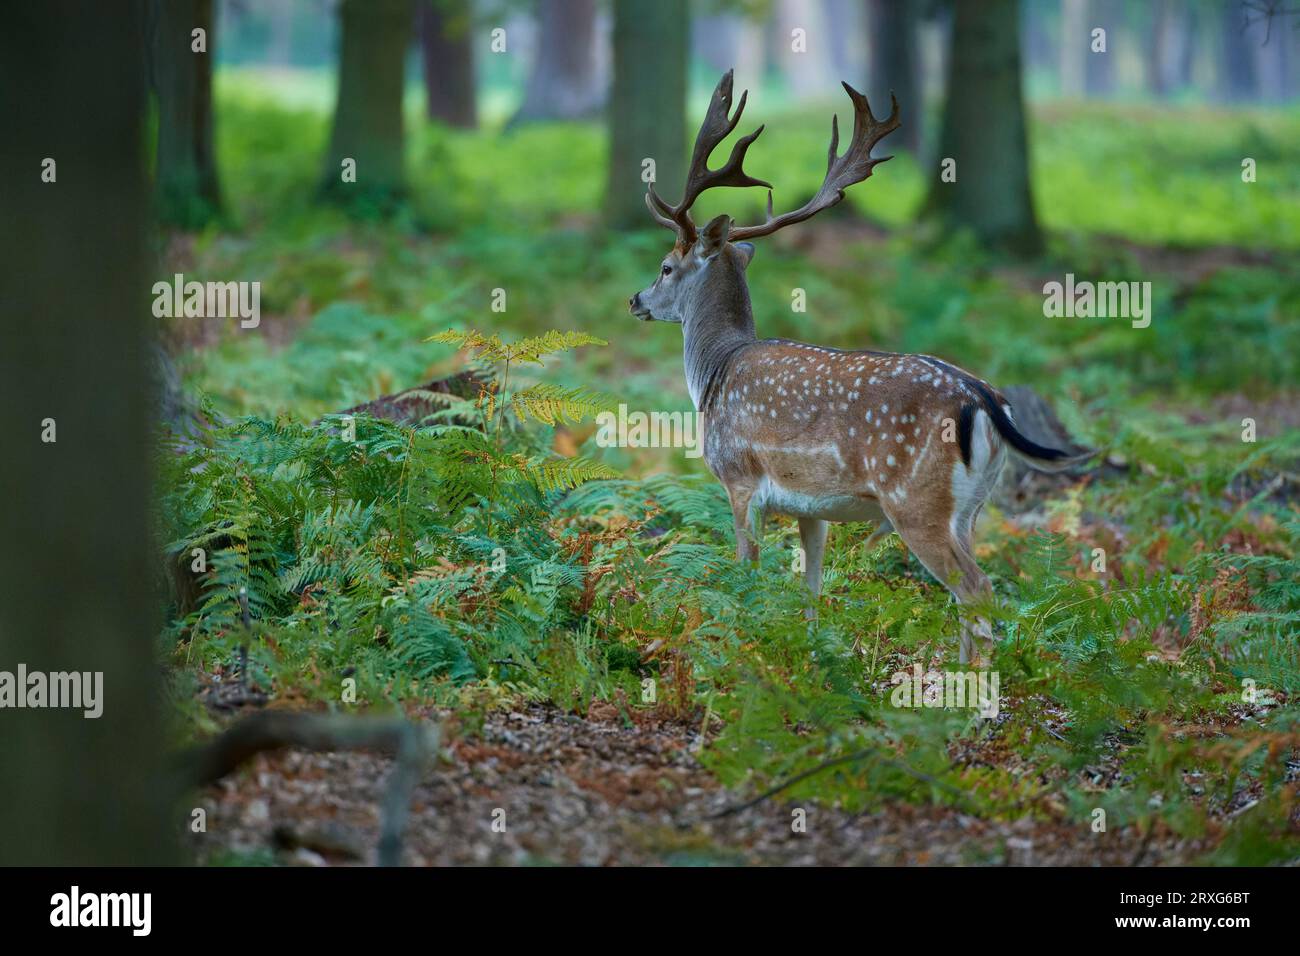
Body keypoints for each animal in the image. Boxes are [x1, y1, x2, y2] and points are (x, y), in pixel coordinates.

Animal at [628, 71, 1083, 664]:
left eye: (665, 266)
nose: (635, 300)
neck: (715, 372)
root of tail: (982, 399)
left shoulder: (738, 478)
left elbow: (746, 570)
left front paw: (744, 650)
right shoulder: (810, 506)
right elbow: (811, 588)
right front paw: (807, 653)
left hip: (916, 500)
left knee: (976, 589)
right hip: (973, 506)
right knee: (974, 591)